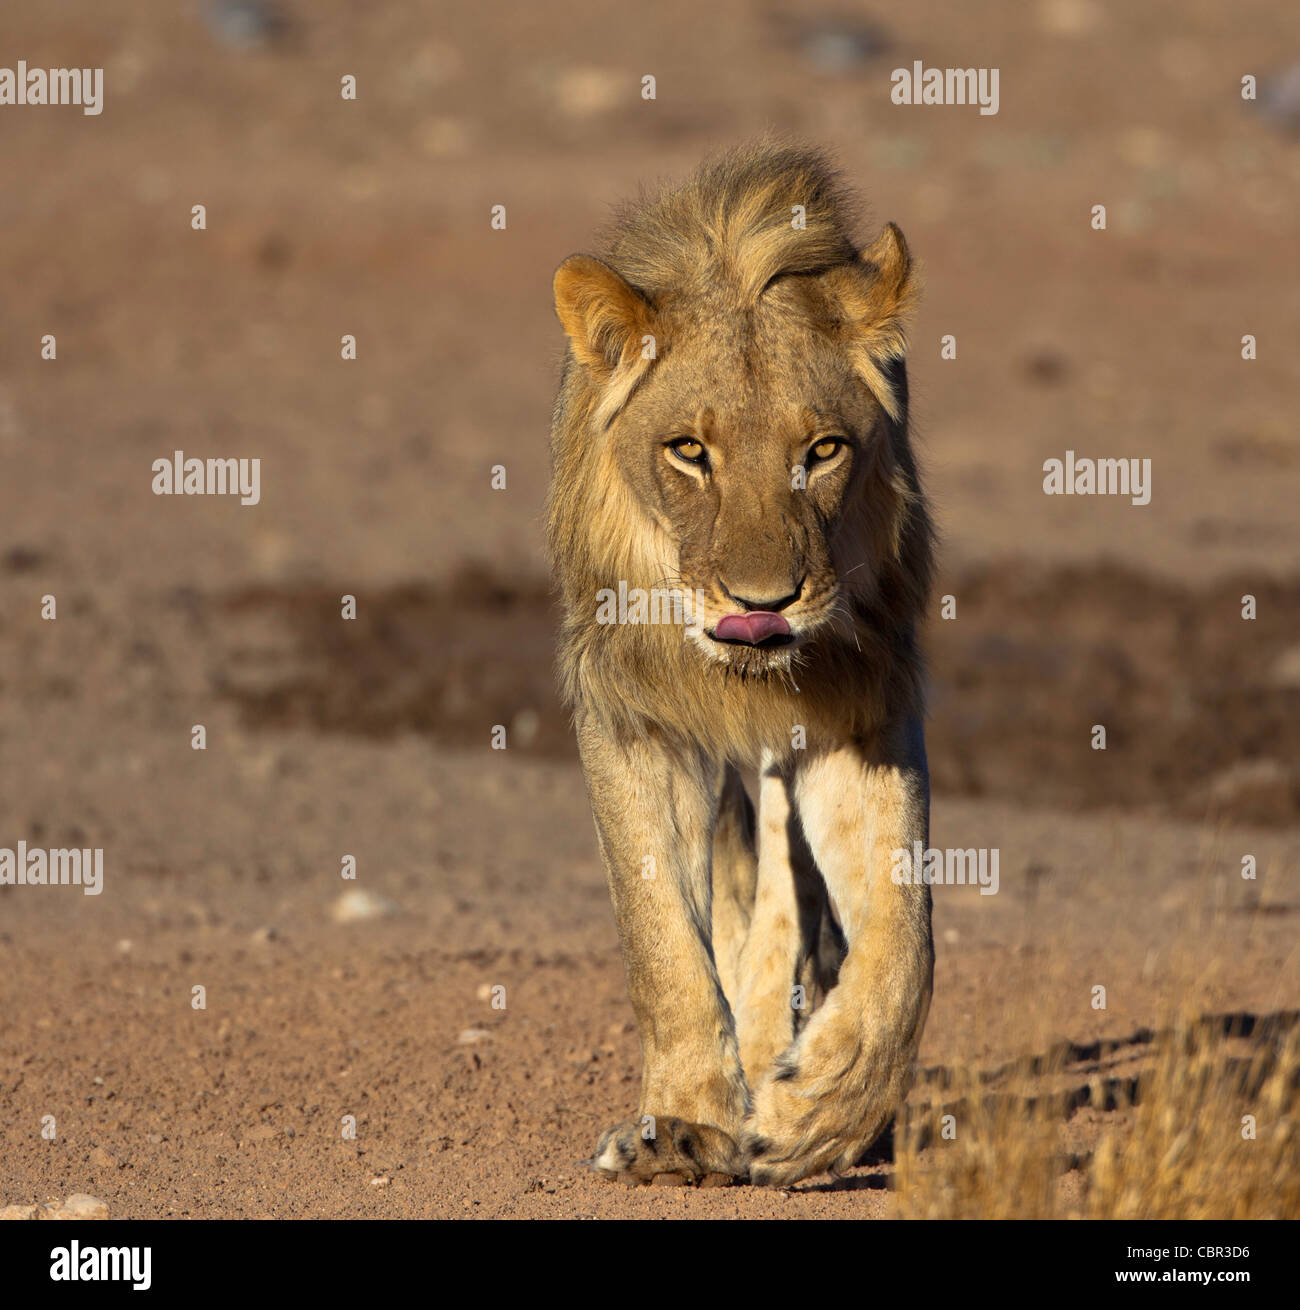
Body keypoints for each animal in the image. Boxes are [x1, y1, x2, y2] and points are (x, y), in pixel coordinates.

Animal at [546, 142, 935, 1187]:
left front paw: (822, 1110)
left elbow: (904, 935)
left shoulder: (860, 713)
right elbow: (664, 946)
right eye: (689, 451)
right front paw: (683, 1124)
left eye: (824, 449)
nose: (764, 604)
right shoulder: (632, 718)